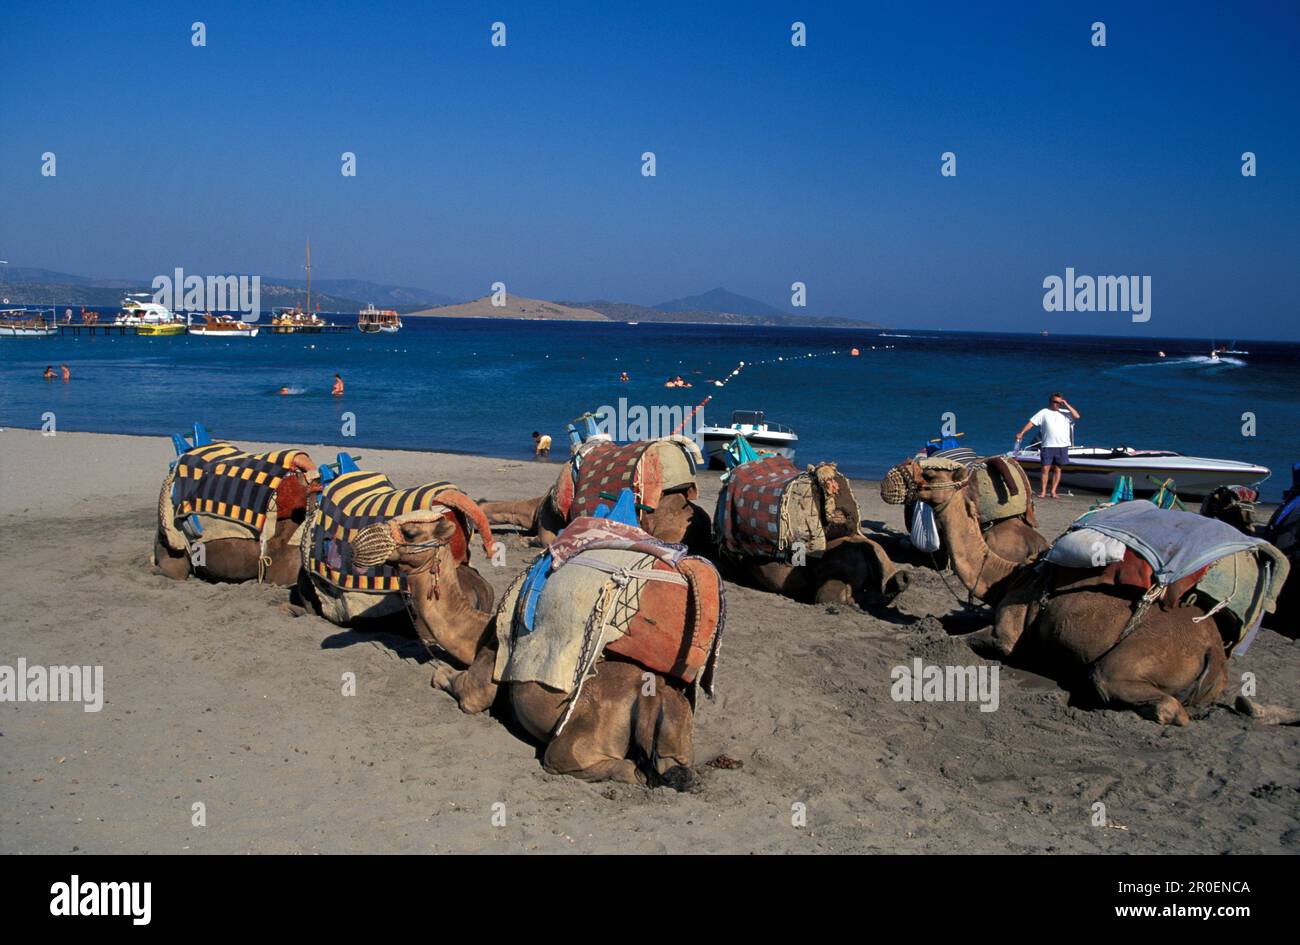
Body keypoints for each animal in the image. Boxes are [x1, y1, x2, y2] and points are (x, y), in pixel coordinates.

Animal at [360, 513, 718, 787]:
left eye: (410, 531)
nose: (362, 540)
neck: (479, 631)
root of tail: (650, 698)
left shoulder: (489, 665)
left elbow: (461, 688)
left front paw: (440, 673)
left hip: (572, 745)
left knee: (606, 765)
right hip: (677, 729)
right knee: (677, 770)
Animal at [885, 460, 1250, 725]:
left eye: (930, 473)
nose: (897, 474)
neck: (1007, 577)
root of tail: (1214, 651)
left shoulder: (1007, 637)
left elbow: (962, 639)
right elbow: (951, 622)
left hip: (1129, 662)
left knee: (1152, 701)